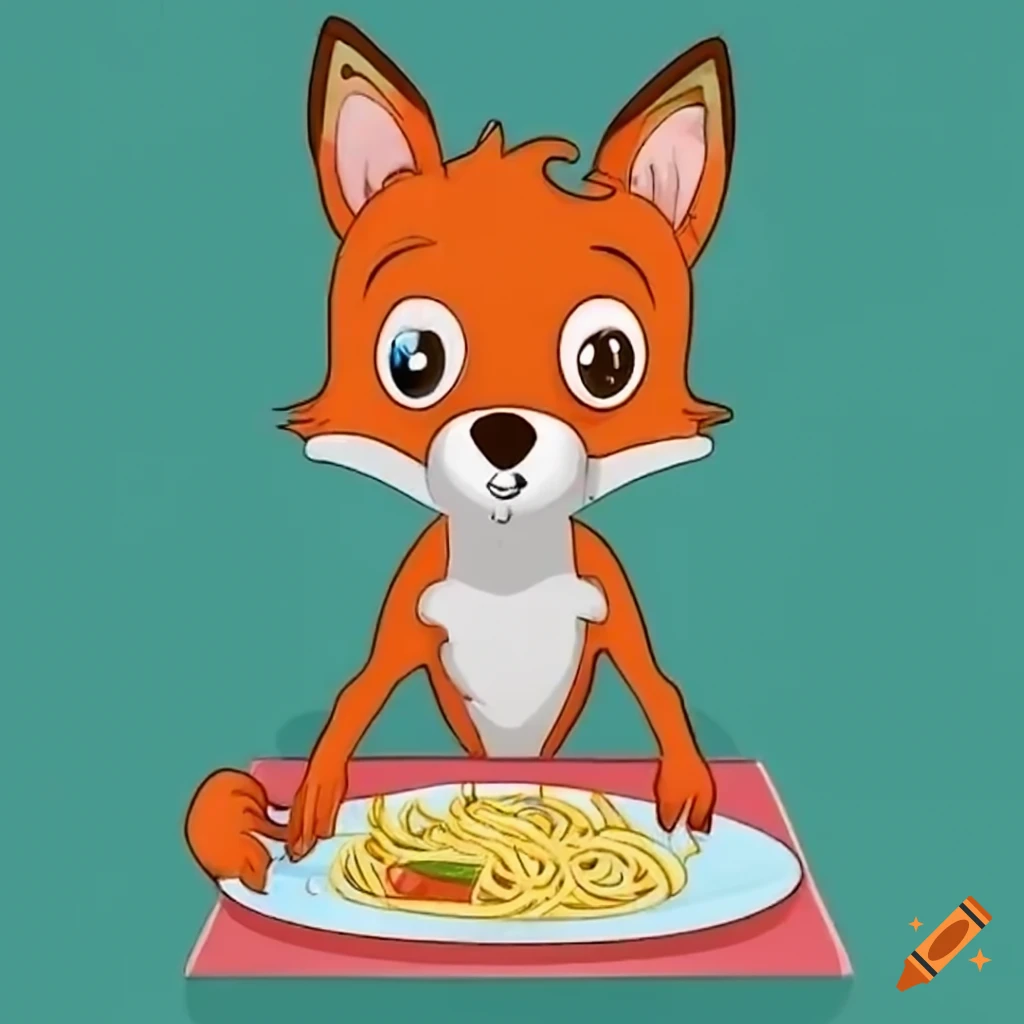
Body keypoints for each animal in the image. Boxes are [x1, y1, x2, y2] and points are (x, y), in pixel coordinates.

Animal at [185, 17, 736, 894]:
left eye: (607, 361)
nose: (503, 433)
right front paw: (315, 794)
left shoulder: (607, 589)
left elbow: (655, 677)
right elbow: (359, 689)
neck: (507, 566)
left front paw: (684, 779)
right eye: (414, 359)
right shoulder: (411, 606)